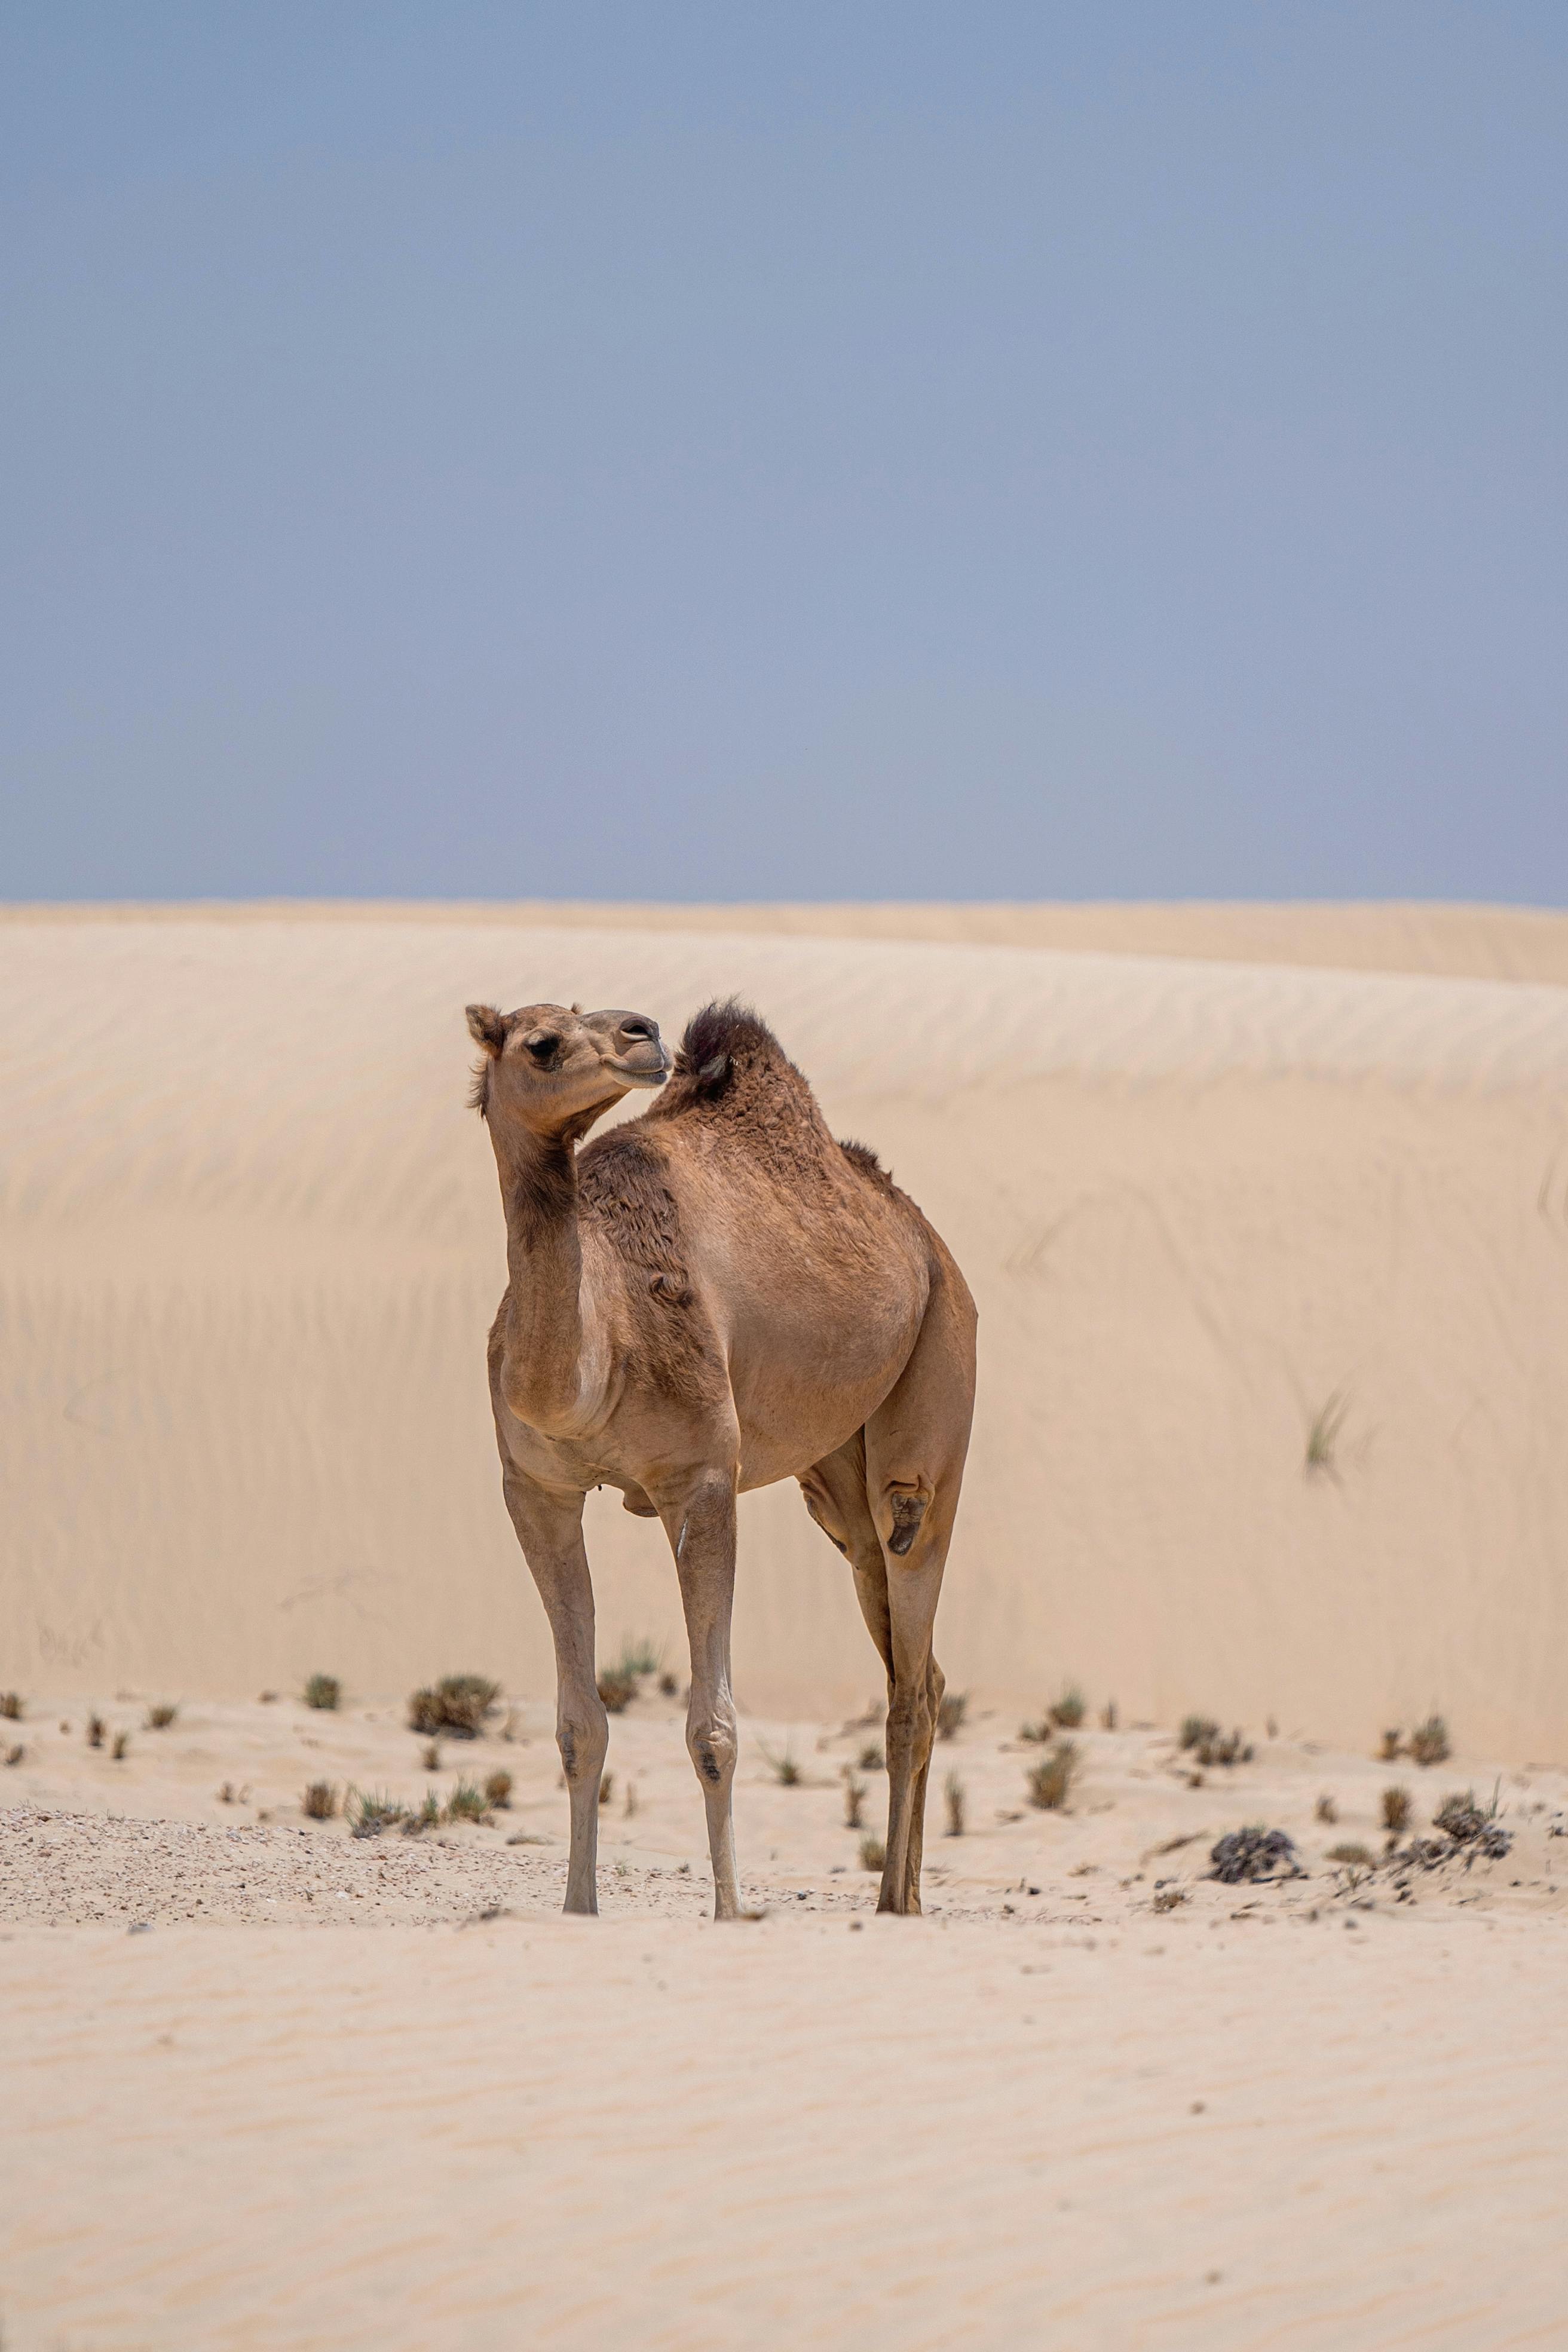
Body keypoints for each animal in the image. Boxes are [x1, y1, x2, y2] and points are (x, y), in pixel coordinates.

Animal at [466, 994, 976, 1918]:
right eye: (543, 1042)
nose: (641, 1034)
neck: (599, 1347)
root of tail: (926, 1241)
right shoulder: (537, 1489)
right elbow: (578, 1725)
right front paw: (578, 1907)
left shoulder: (701, 1481)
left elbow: (714, 1729)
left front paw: (731, 1910)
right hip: (835, 1485)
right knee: (917, 1664)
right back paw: (906, 1893)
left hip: (938, 1385)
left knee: (911, 1619)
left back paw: (895, 1903)